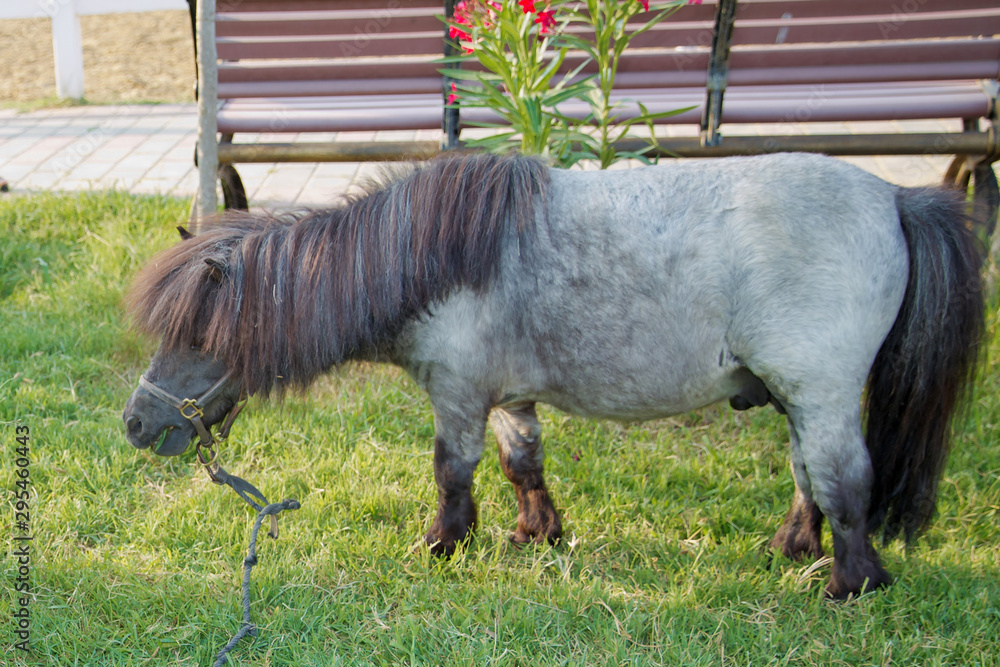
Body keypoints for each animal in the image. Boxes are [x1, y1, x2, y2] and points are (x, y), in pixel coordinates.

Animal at [122, 151, 984, 599]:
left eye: (194, 333)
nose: (135, 422)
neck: (430, 259)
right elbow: (522, 462)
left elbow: (452, 470)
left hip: (821, 393)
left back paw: (850, 581)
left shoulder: (458, 393)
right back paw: (794, 545)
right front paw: (537, 532)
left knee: (843, 481)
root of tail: (894, 196)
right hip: (799, 398)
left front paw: (441, 544)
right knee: (810, 475)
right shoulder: (509, 395)